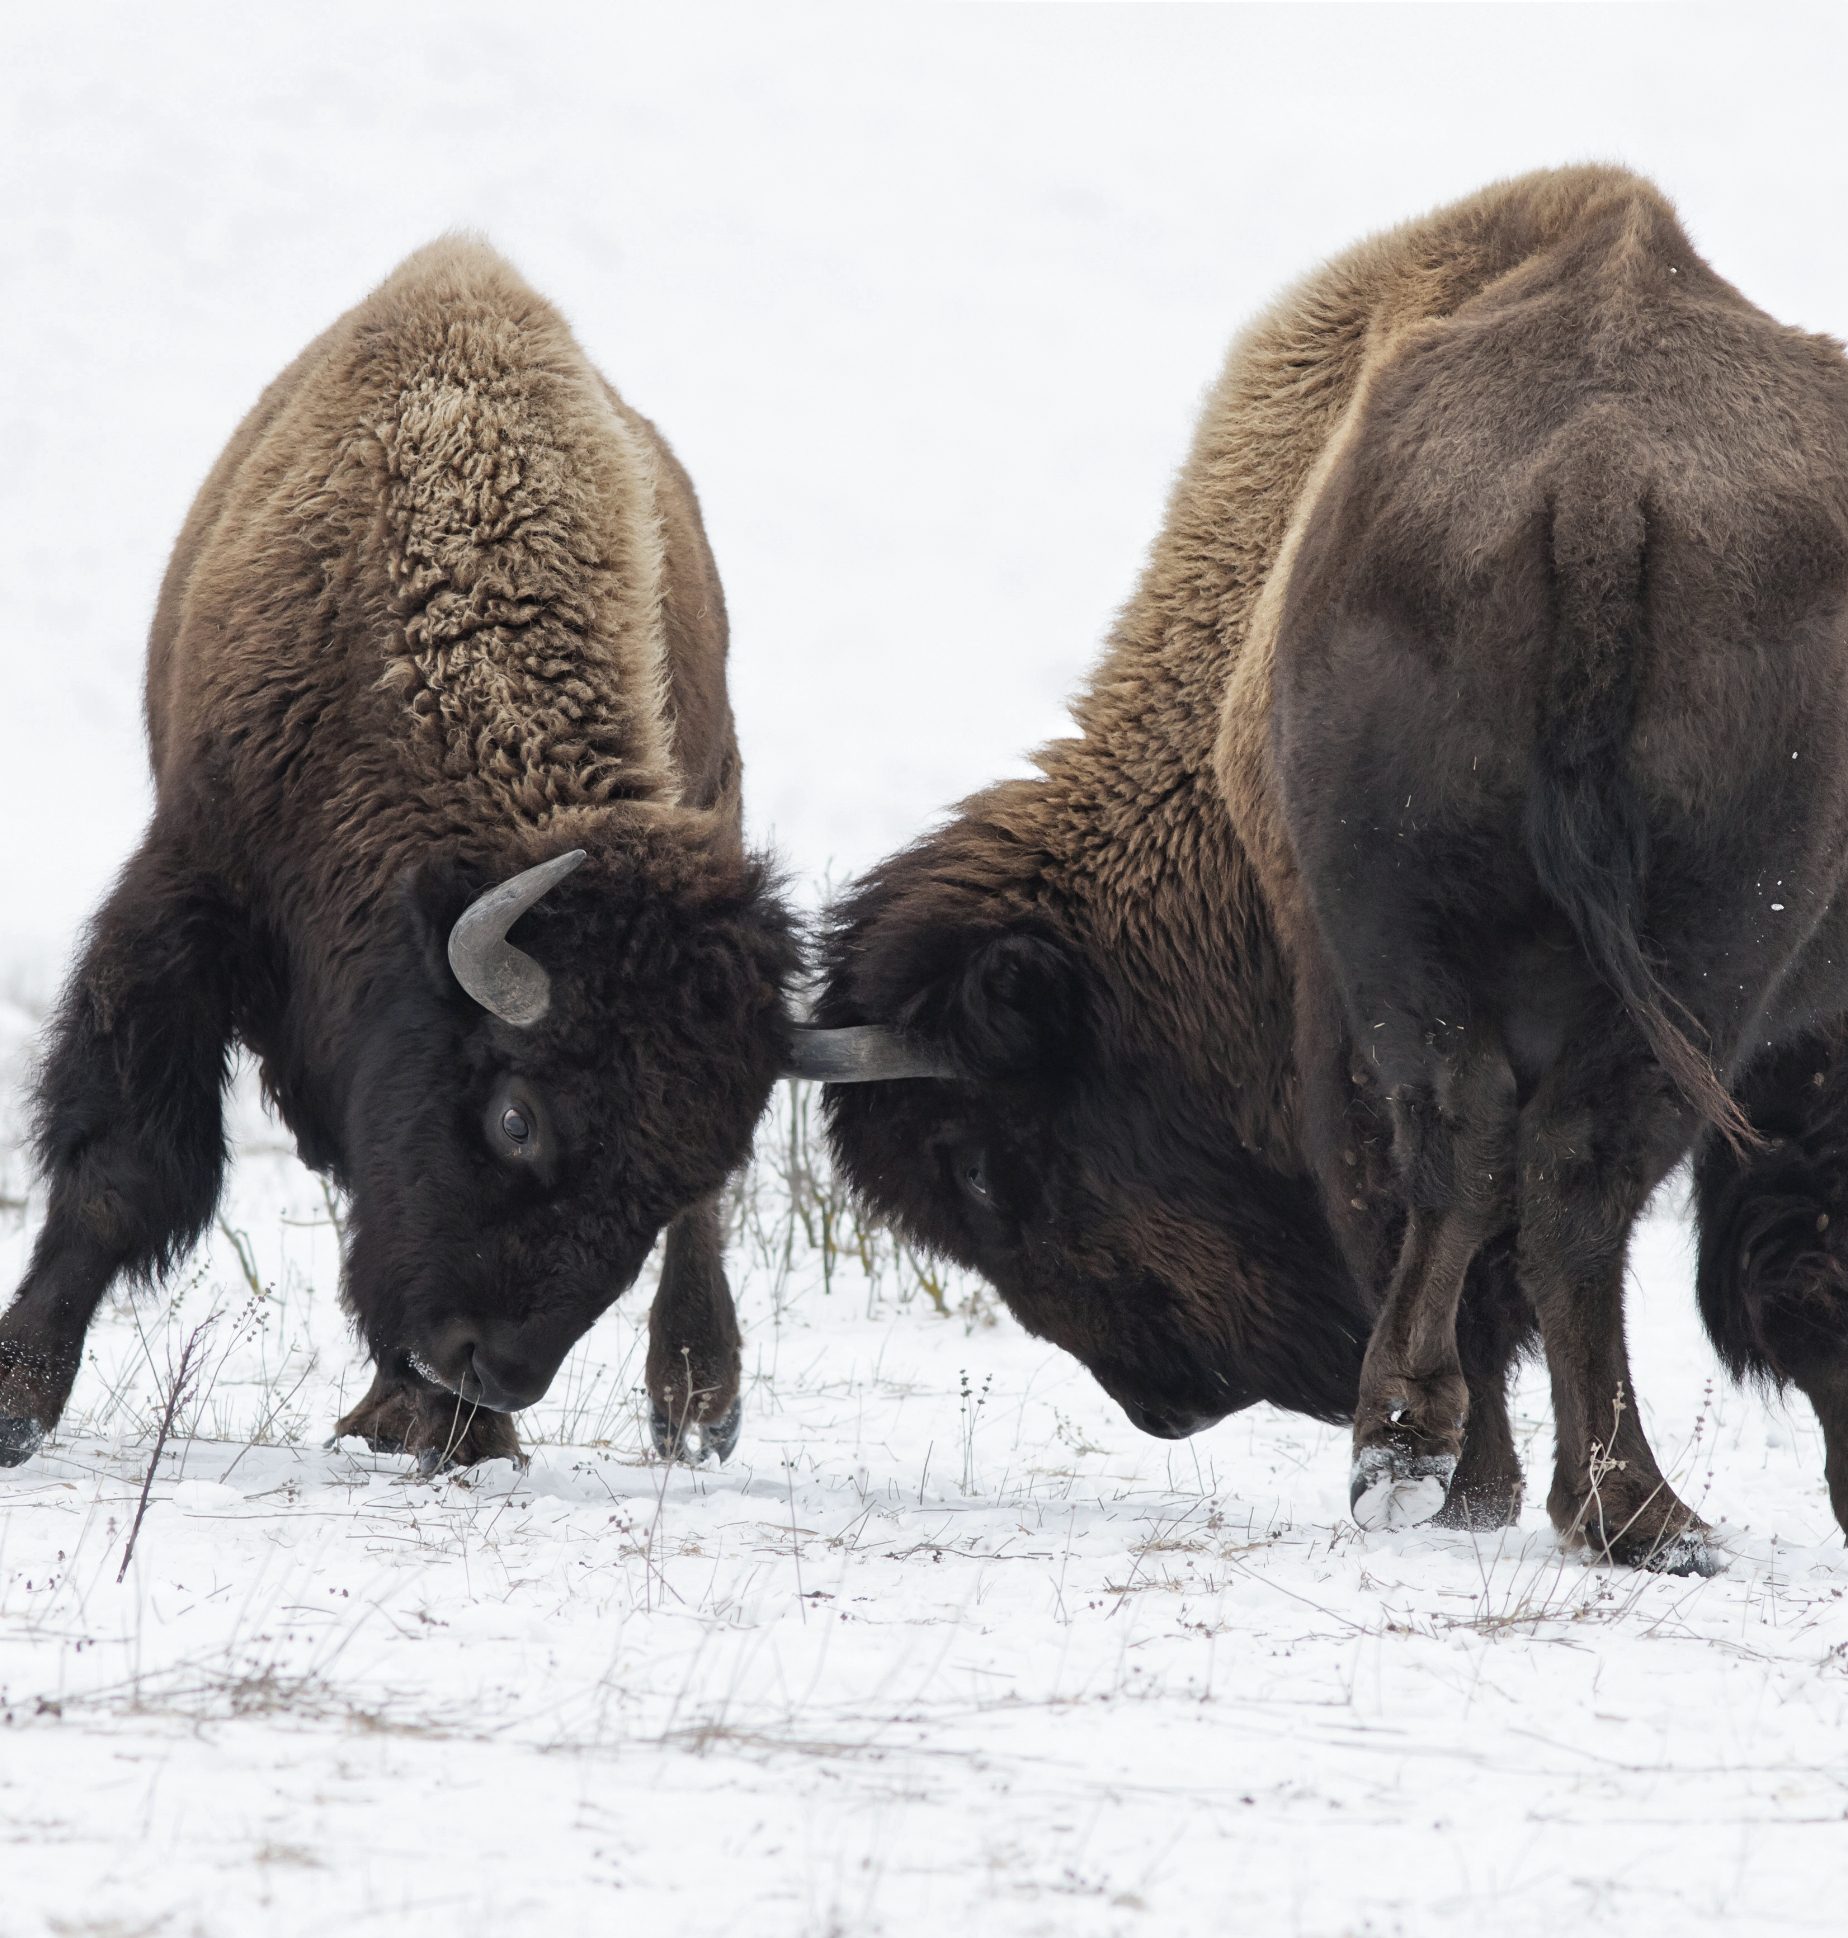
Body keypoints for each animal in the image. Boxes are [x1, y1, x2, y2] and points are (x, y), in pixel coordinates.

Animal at [0, 239, 813, 1469]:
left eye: (668, 1170)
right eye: (517, 1118)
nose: (493, 1369)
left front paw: (444, 1430)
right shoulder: (194, 891)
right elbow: (121, 1173)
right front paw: (15, 1404)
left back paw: (692, 1409)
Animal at [817, 166, 1848, 1569]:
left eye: (979, 1167)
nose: (1166, 1403)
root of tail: (1597, 478)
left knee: (1503, 1176)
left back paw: (1498, 1477)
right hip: (1669, 961)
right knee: (1538, 1182)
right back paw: (1586, 1503)